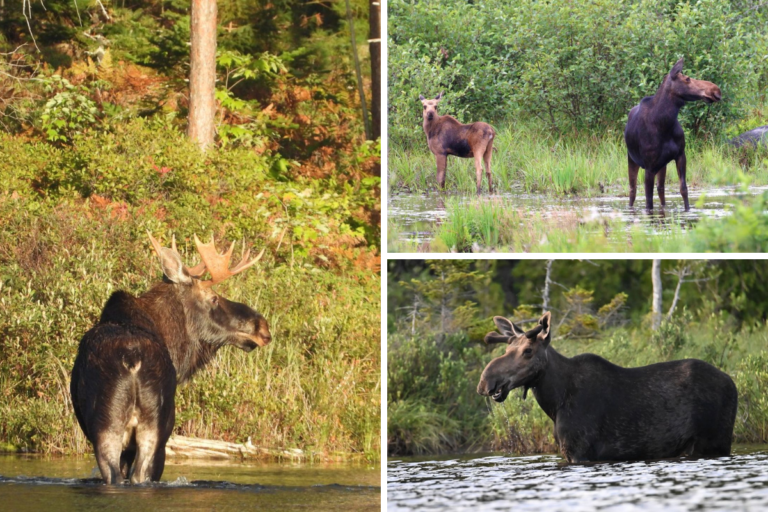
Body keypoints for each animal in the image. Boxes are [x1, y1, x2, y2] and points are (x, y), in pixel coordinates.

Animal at [477, 312, 737, 463]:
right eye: (507, 349)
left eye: (528, 351)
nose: (486, 381)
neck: (555, 400)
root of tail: (732, 383)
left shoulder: (579, 451)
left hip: (713, 441)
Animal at [624, 57, 722, 211]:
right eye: (687, 79)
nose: (716, 90)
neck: (664, 123)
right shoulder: (649, 166)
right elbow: (648, 201)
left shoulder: (680, 155)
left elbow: (683, 189)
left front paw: (687, 210)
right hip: (632, 159)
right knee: (632, 190)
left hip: (662, 165)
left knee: (661, 189)